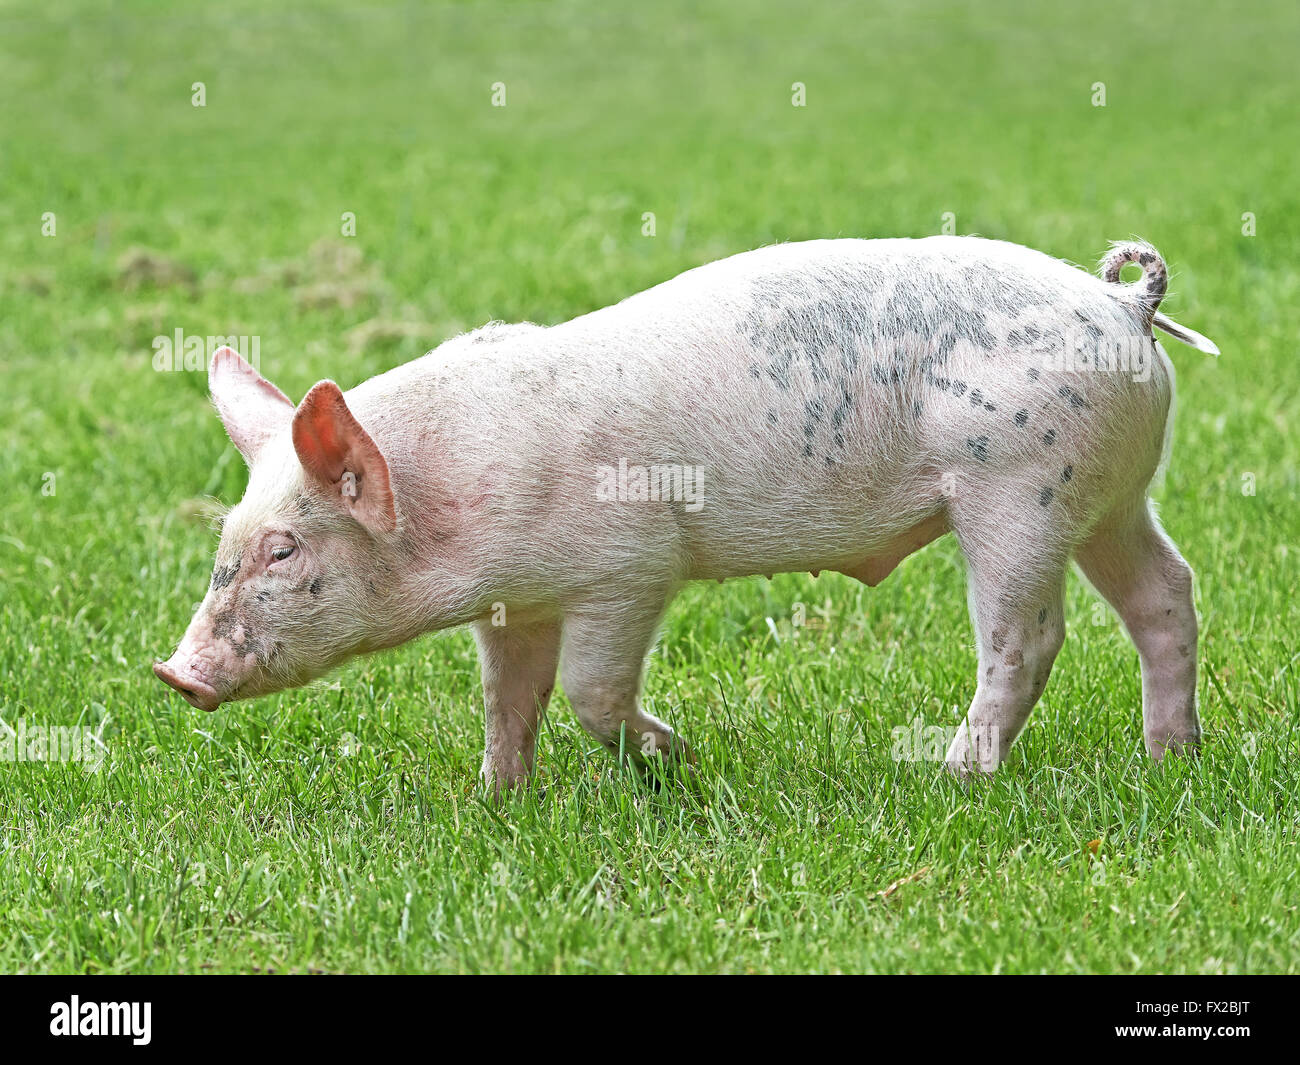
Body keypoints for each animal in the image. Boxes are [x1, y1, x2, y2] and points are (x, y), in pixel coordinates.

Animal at [154, 236, 1219, 787]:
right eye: (226, 540)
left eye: (284, 549)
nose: (175, 672)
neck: (448, 497)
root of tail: (1124, 307)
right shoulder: (513, 603)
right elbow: (507, 699)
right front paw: (500, 799)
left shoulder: (629, 565)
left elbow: (589, 691)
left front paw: (682, 764)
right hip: (1109, 496)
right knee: (1166, 593)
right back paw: (1171, 759)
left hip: (1017, 491)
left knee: (1028, 638)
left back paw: (950, 777)